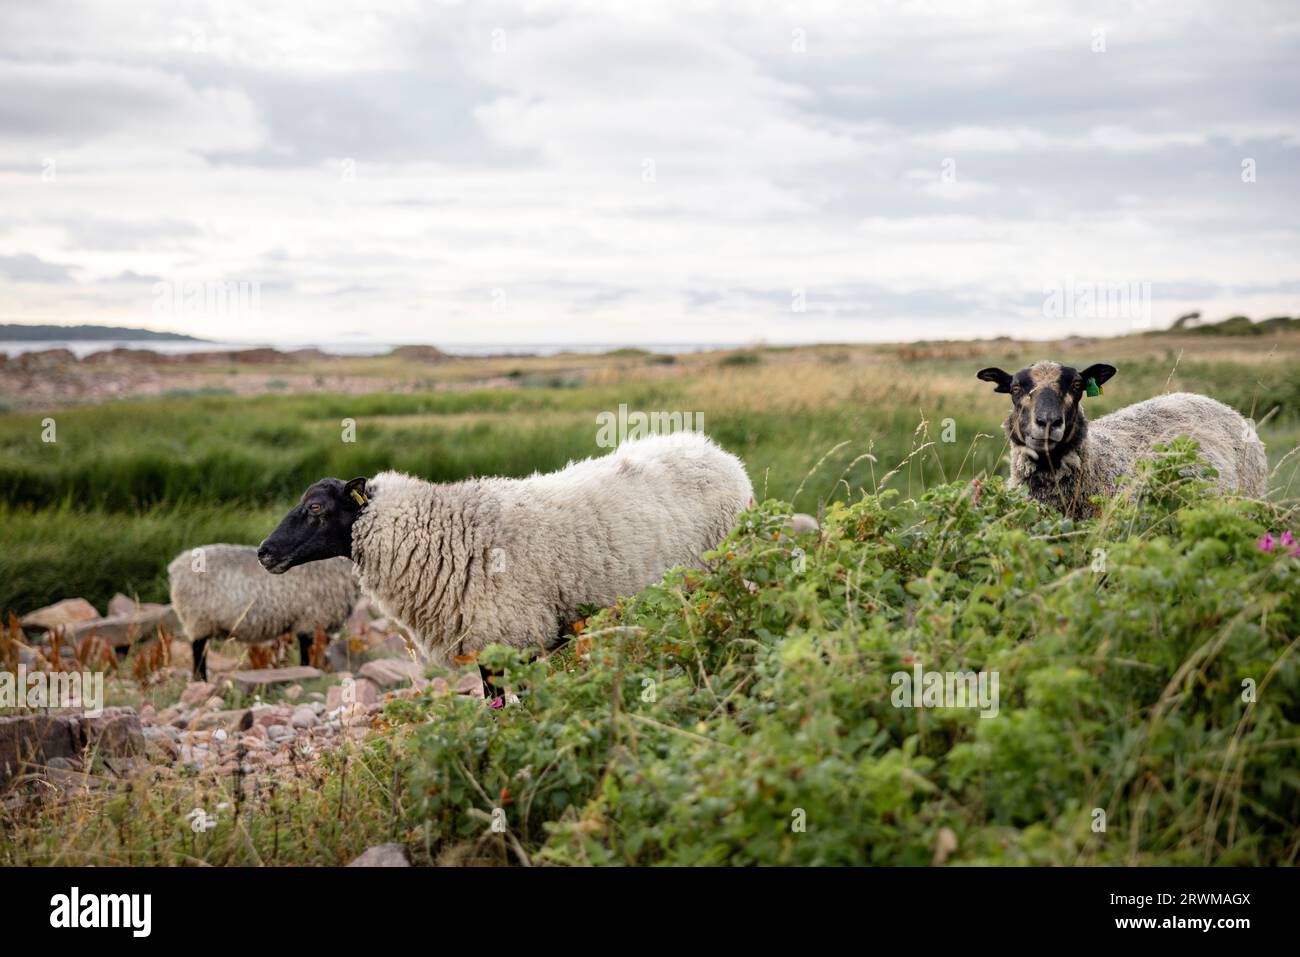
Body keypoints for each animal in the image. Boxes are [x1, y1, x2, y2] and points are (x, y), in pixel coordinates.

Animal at [168, 544, 360, 681]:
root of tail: (176, 566)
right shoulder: (310, 619)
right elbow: (306, 653)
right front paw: (308, 671)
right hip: (198, 619)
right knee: (198, 651)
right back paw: (201, 680)